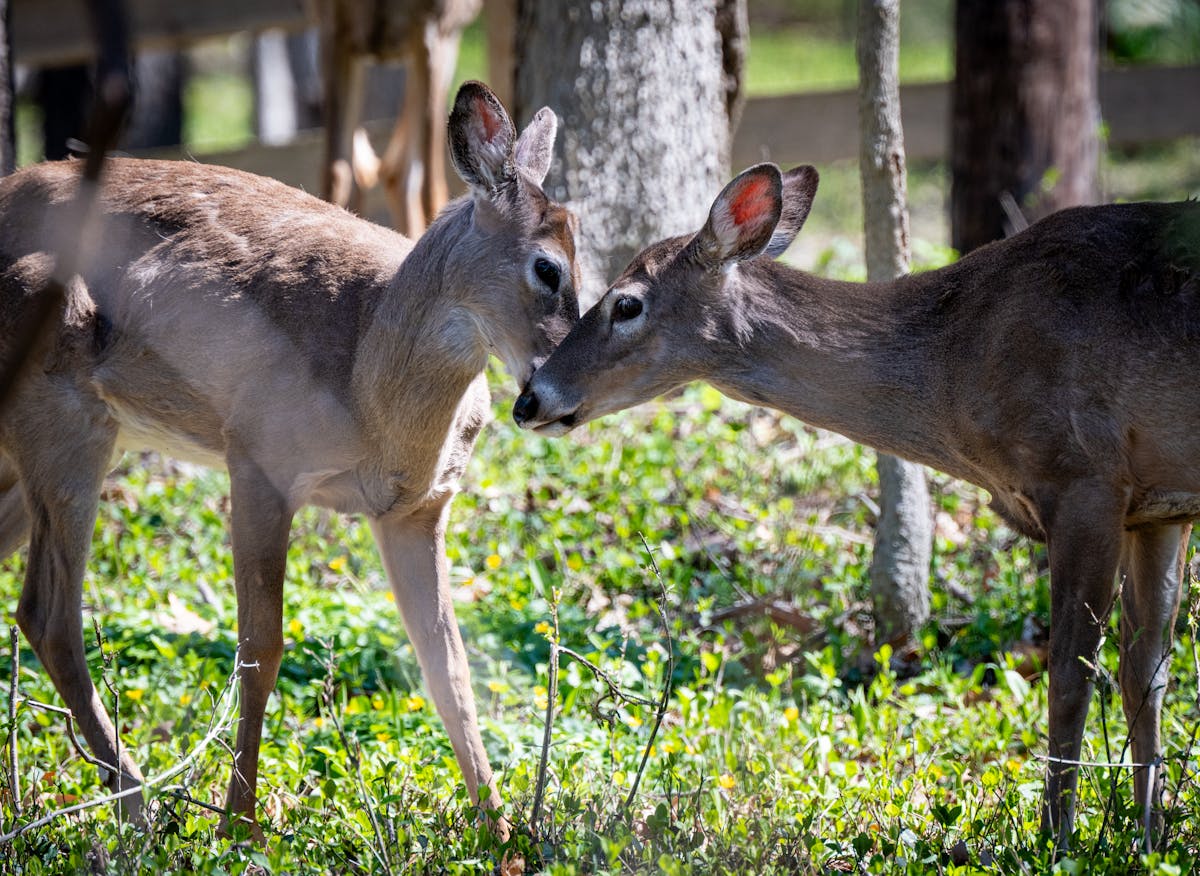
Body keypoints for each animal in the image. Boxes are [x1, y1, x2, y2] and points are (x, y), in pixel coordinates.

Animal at [0, 80, 579, 840]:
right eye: (547, 267)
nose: (553, 401)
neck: (367, 382)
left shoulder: (416, 509)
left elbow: (447, 667)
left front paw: (499, 829)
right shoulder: (257, 459)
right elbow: (260, 649)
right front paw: (237, 826)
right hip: (62, 413)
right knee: (48, 614)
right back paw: (137, 805)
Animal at [512, 161, 1200, 848]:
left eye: (626, 303)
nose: (529, 399)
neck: (957, 363)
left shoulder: (1085, 478)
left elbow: (1071, 676)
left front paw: (1059, 843)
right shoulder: (1158, 509)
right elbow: (1148, 672)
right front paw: (1150, 839)